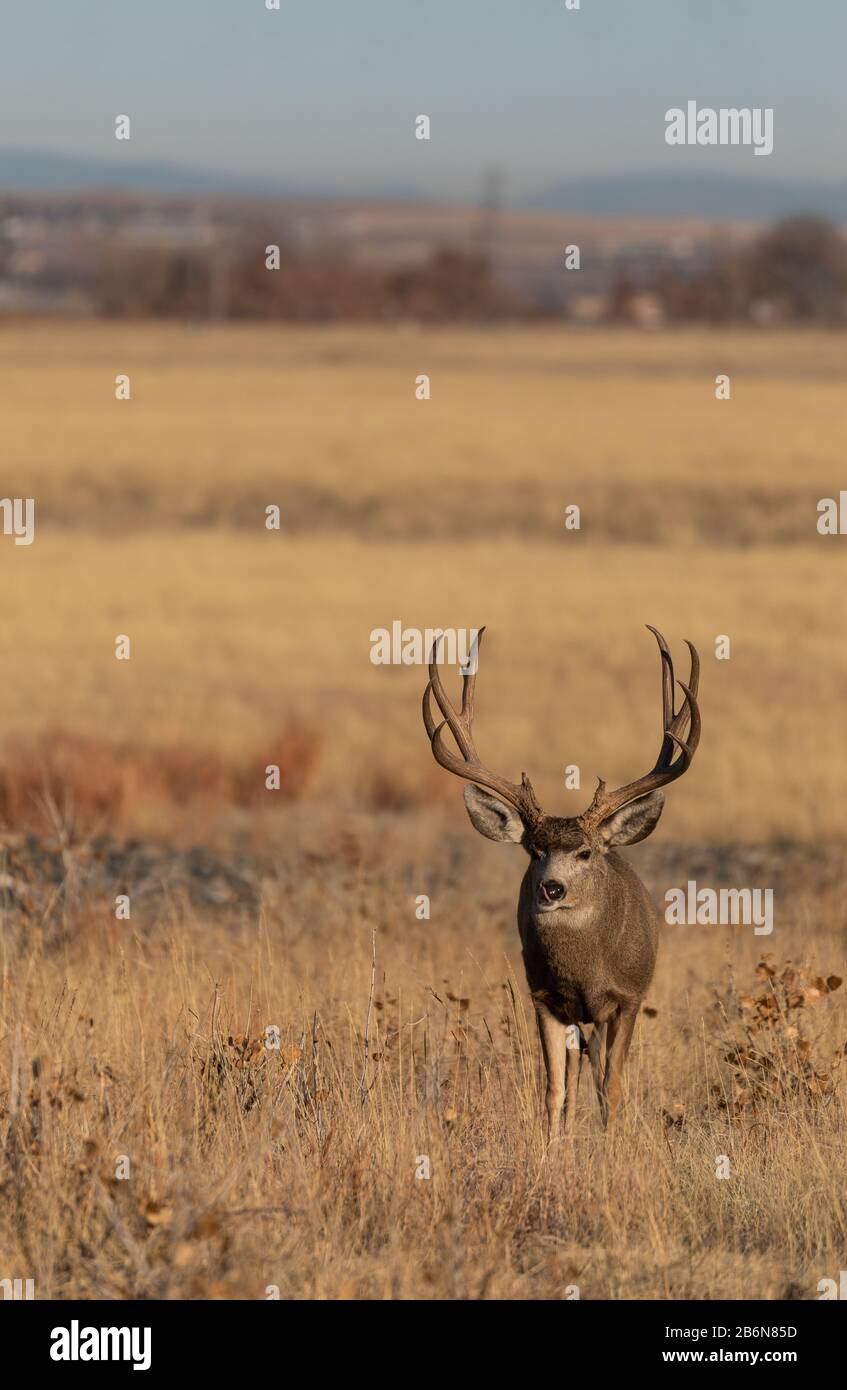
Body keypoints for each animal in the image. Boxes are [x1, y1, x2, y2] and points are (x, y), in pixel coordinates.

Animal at [422, 626, 701, 1140]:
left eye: (585, 852)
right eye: (534, 851)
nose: (550, 889)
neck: (585, 969)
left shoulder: (627, 998)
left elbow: (611, 1086)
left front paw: (610, 1148)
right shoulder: (545, 999)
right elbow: (553, 1090)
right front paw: (553, 1147)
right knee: (572, 1075)